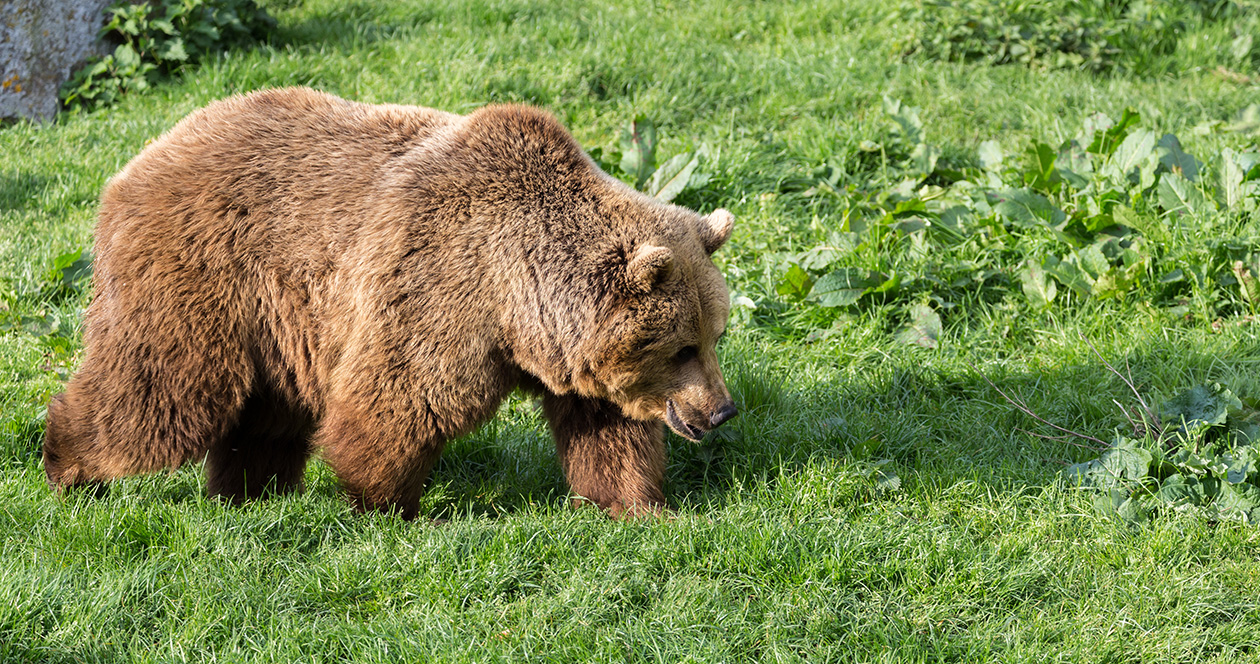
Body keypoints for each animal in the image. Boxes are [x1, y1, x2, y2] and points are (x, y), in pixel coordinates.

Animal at [42, 87, 738, 519]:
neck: (520, 298)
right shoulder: (439, 283)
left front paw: (639, 507)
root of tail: (140, 160)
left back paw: (250, 492)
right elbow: (402, 399)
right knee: (161, 391)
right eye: (682, 347)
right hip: (204, 275)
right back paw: (68, 466)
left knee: (265, 412)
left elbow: (605, 430)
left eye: (714, 336)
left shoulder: (567, 353)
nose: (722, 410)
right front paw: (389, 506)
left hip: (281, 323)